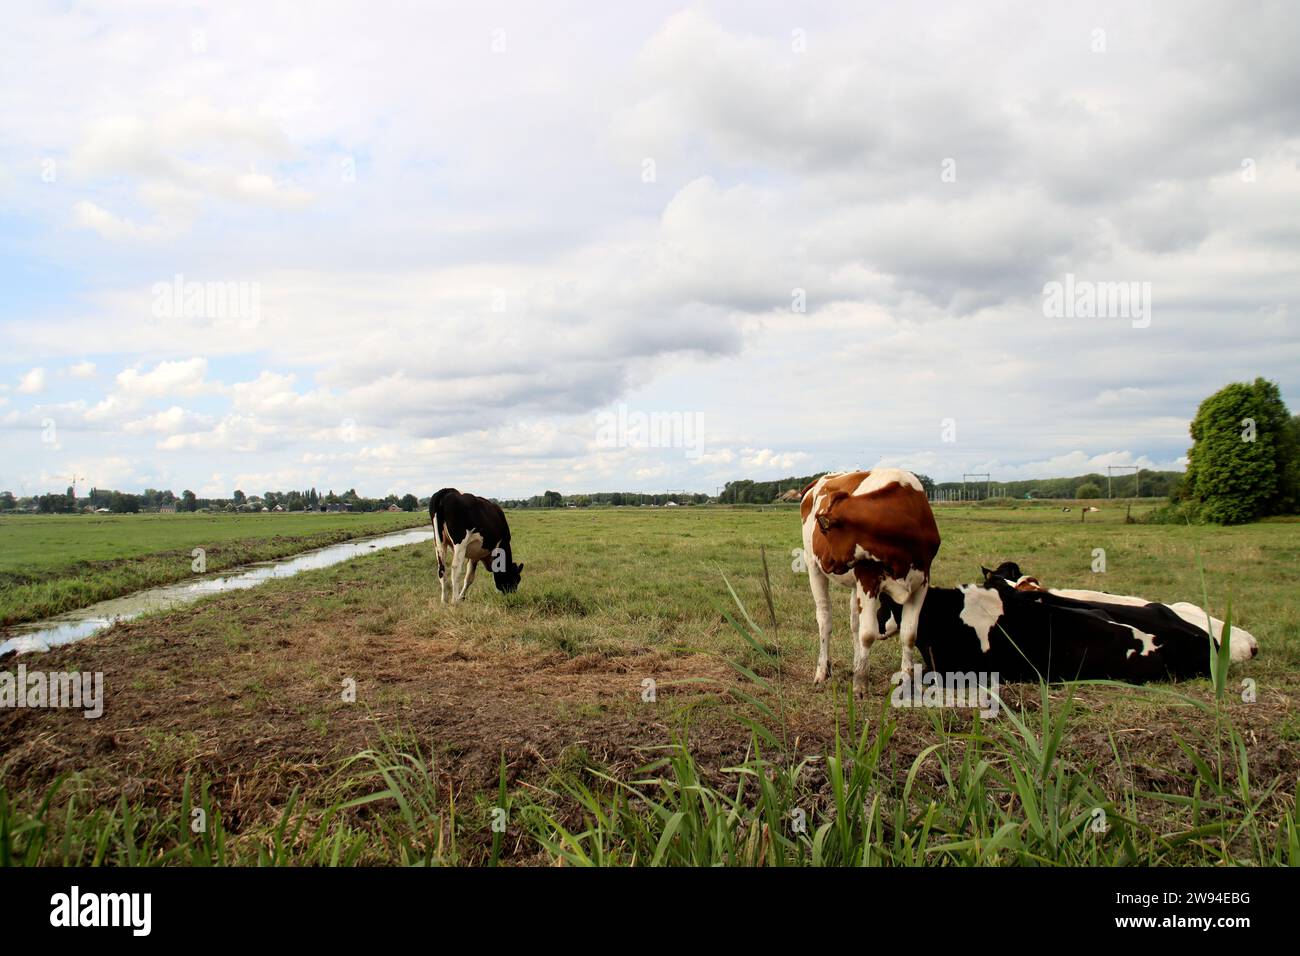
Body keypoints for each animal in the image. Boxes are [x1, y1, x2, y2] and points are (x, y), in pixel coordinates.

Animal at [800, 469, 940, 695]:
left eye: (824, 531)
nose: (825, 559)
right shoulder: (868, 580)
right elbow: (867, 634)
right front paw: (860, 685)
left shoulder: (921, 583)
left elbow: (909, 634)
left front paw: (907, 680)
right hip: (814, 568)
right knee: (824, 619)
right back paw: (822, 671)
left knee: (854, 624)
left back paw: (856, 664)